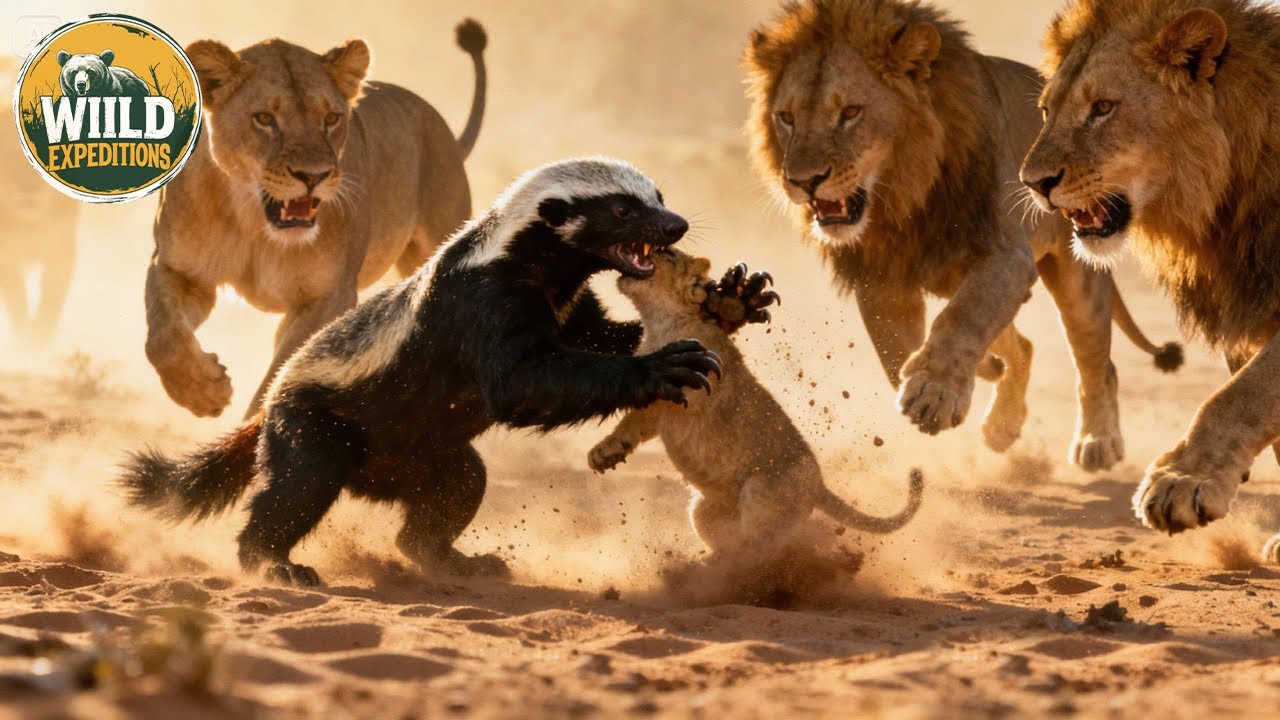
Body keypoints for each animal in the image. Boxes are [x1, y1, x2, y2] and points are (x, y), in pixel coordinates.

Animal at [146, 20, 486, 418]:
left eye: (331, 119)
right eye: (265, 119)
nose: (314, 176)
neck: (253, 223)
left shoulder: (329, 296)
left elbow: (276, 378)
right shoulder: (180, 270)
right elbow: (163, 338)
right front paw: (202, 391)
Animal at [587, 248, 924, 558]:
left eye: (667, 252)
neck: (660, 323)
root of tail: (819, 486)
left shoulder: (690, 390)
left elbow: (638, 415)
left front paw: (603, 451)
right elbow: (639, 419)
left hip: (762, 489)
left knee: (765, 545)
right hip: (704, 510)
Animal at [741, 0, 1182, 473]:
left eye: (851, 113)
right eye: (786, 118)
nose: (803, 182)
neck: (904, 198)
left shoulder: (1005, 255)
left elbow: (963, 317)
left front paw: (935, 394)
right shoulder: (880, 280)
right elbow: (894, 352)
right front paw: (943, 380)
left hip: (1079, 272)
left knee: (1095, 363)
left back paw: (1097, 442)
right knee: (1022, 347)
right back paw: (1002, 421)